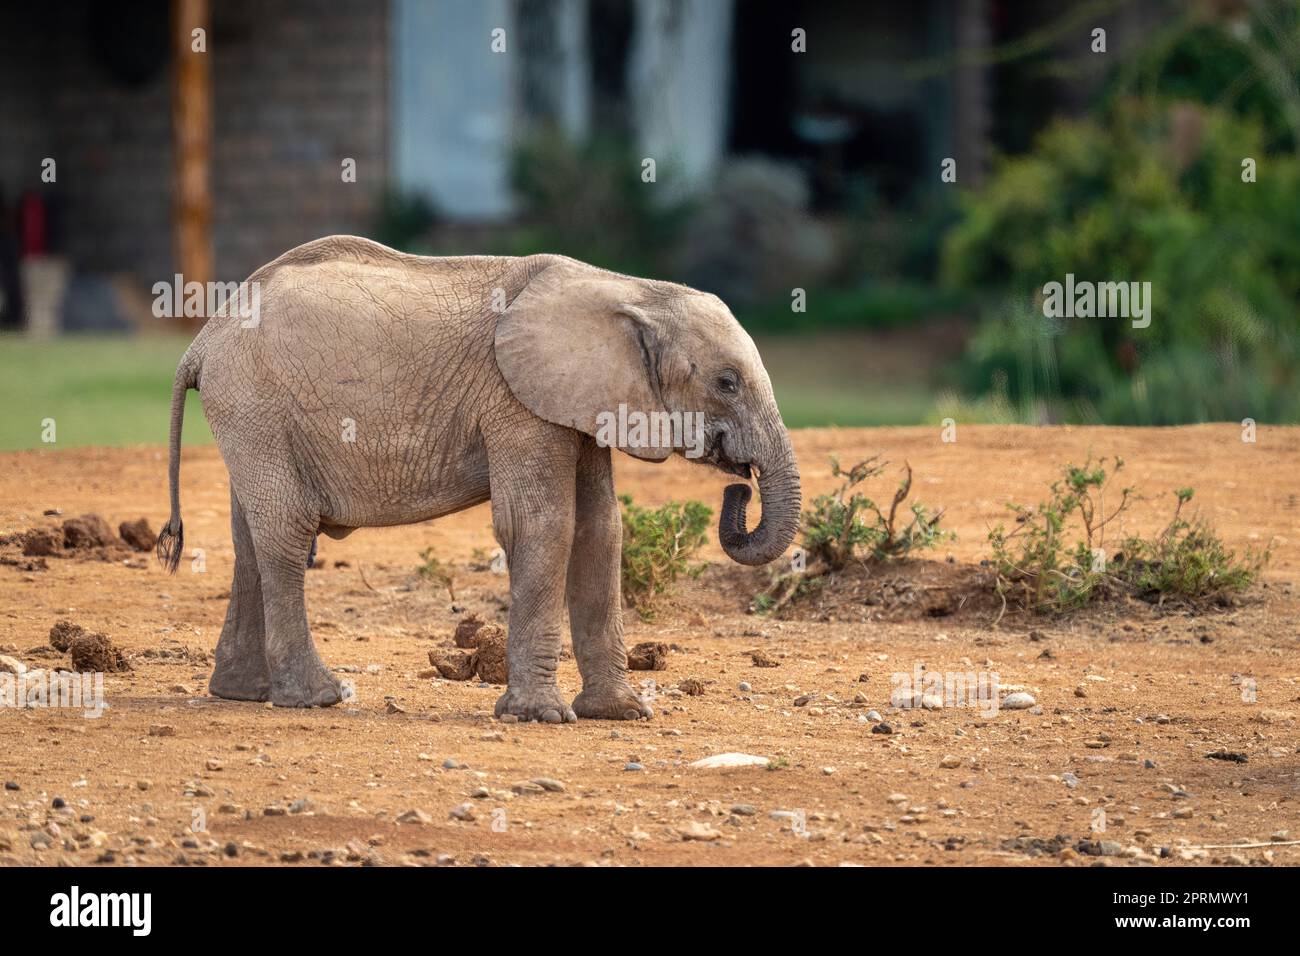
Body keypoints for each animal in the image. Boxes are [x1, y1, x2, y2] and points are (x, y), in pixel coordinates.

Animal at [158, 235, 801, 721]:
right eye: (726, 382)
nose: (739, 486)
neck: (630, 290)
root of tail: (202, 341)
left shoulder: (578, 400)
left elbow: (601, 530)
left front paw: (620, 714)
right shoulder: (515, 402)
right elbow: (541, 525)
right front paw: (541, 717)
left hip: (249, 415)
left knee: (250, 538)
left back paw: (242, 694)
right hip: (254, 404)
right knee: (287, 532)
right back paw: (319, 697)